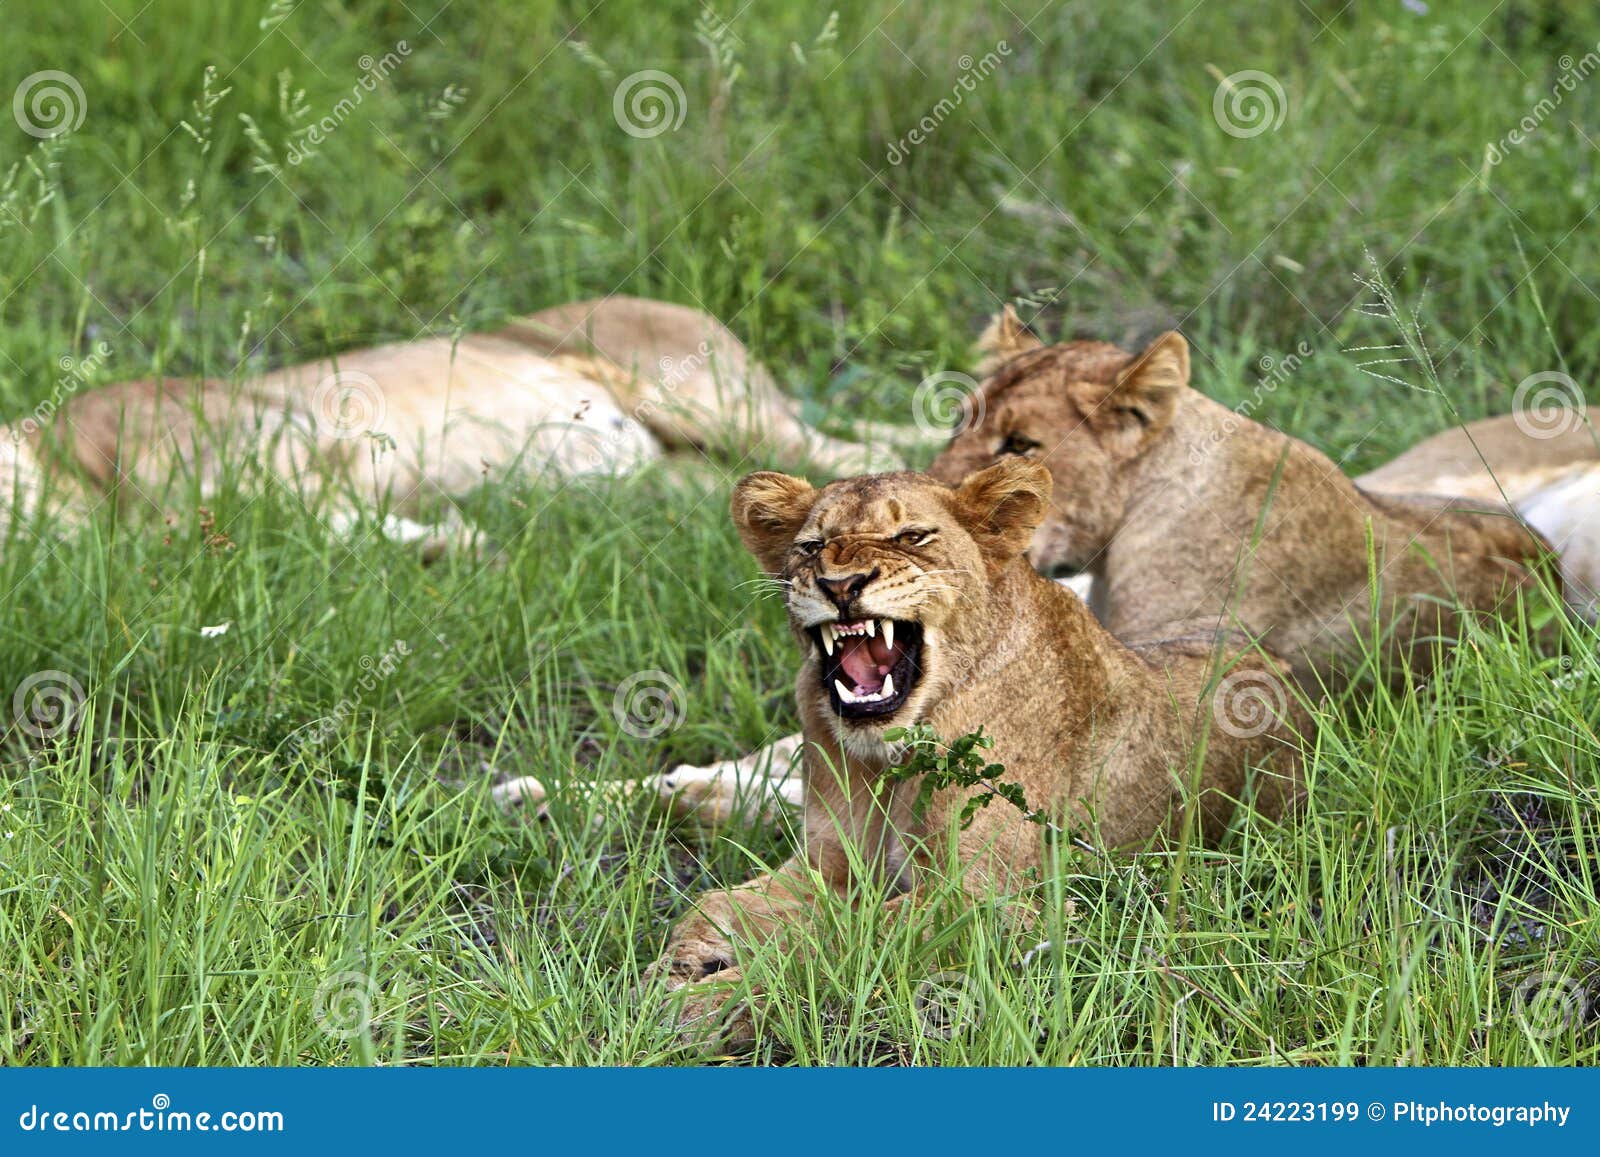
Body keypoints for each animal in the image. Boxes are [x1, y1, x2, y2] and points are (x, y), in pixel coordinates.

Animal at [646, 459, 1308, 1041]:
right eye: (812, 546)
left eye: (910, 537)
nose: (839, 586)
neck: (892, 755)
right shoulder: (827, 866)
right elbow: (718, 902)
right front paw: (676, 962)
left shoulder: (994, 902)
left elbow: (841, 942)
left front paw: (702, 1001)